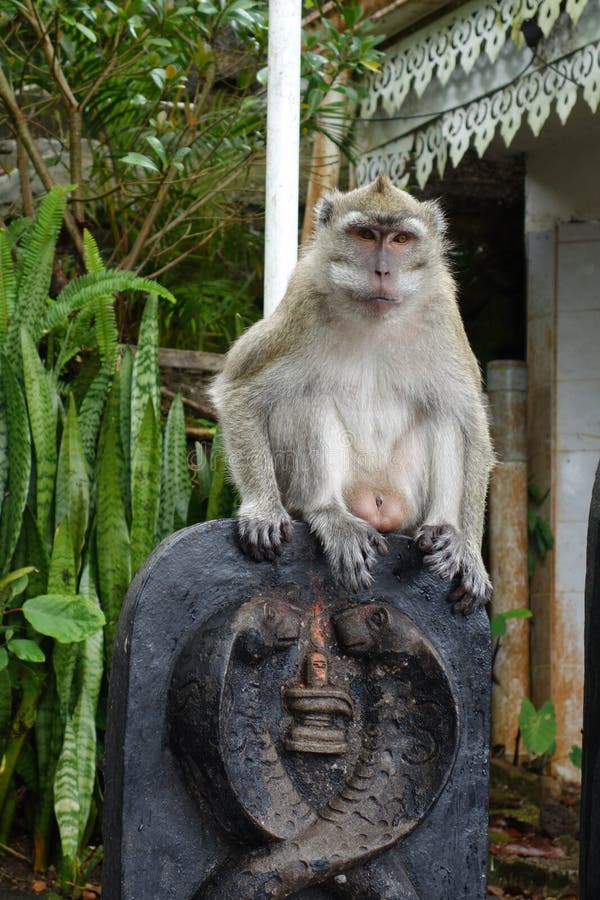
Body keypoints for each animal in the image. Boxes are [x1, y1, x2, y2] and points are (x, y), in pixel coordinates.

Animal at [210, 175, 494, 614]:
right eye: (365, 235)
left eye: (400, 239)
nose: (382, 269)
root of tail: (376, 504)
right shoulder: (302, 301)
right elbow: (238, 389)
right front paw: (262, 509)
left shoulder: (444, 311)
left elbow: (472, 425)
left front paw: (469, 553)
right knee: (308, 396)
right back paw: (329, 513)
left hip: (405, 497)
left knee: (443, 414)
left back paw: (442, 531)